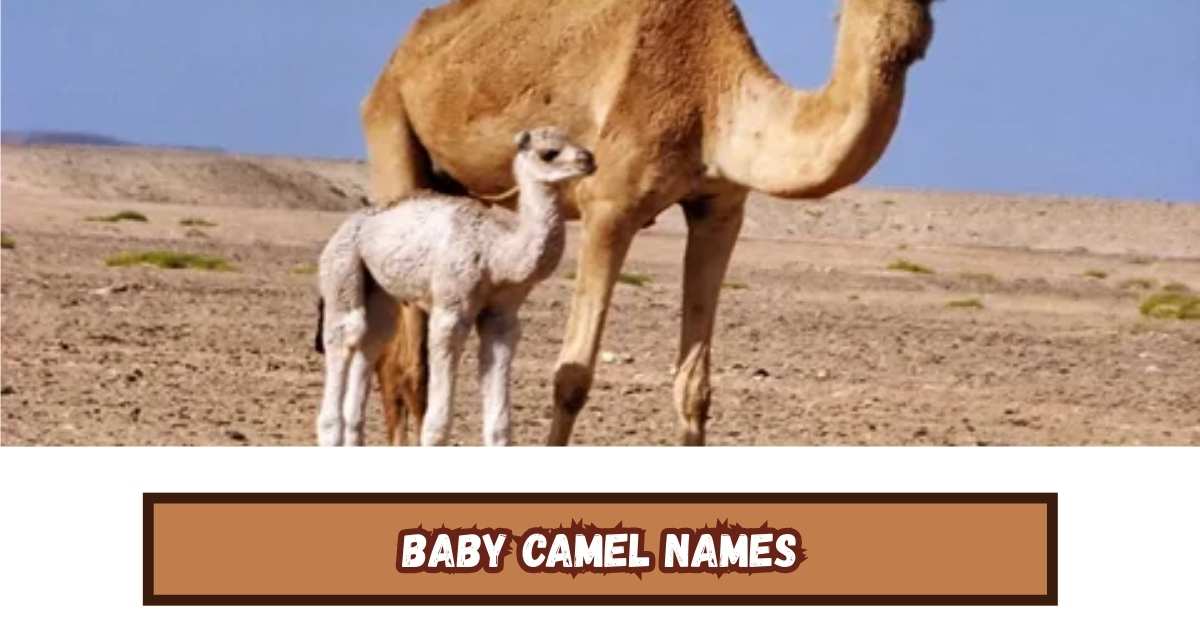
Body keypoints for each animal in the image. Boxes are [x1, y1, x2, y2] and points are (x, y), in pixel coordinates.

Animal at [314, 127, 596, 446]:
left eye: (574, 140)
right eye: (549, 153)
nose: (589, 159)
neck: (495, 254)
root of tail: (350, 225)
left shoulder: (501, 316)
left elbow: (500, 424)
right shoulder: (451, 308)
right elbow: (437, 424)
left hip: (379, 290)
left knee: (372, 338)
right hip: (341, 265)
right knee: (345, 333)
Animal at [361, 0, 936, 446]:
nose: (913, 25)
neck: (710, 95)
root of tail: (399, 55)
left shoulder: (720, 209)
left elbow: (694, 387)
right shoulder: (609, 205)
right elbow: (572, 377)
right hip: (391, 126)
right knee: (408, 367)